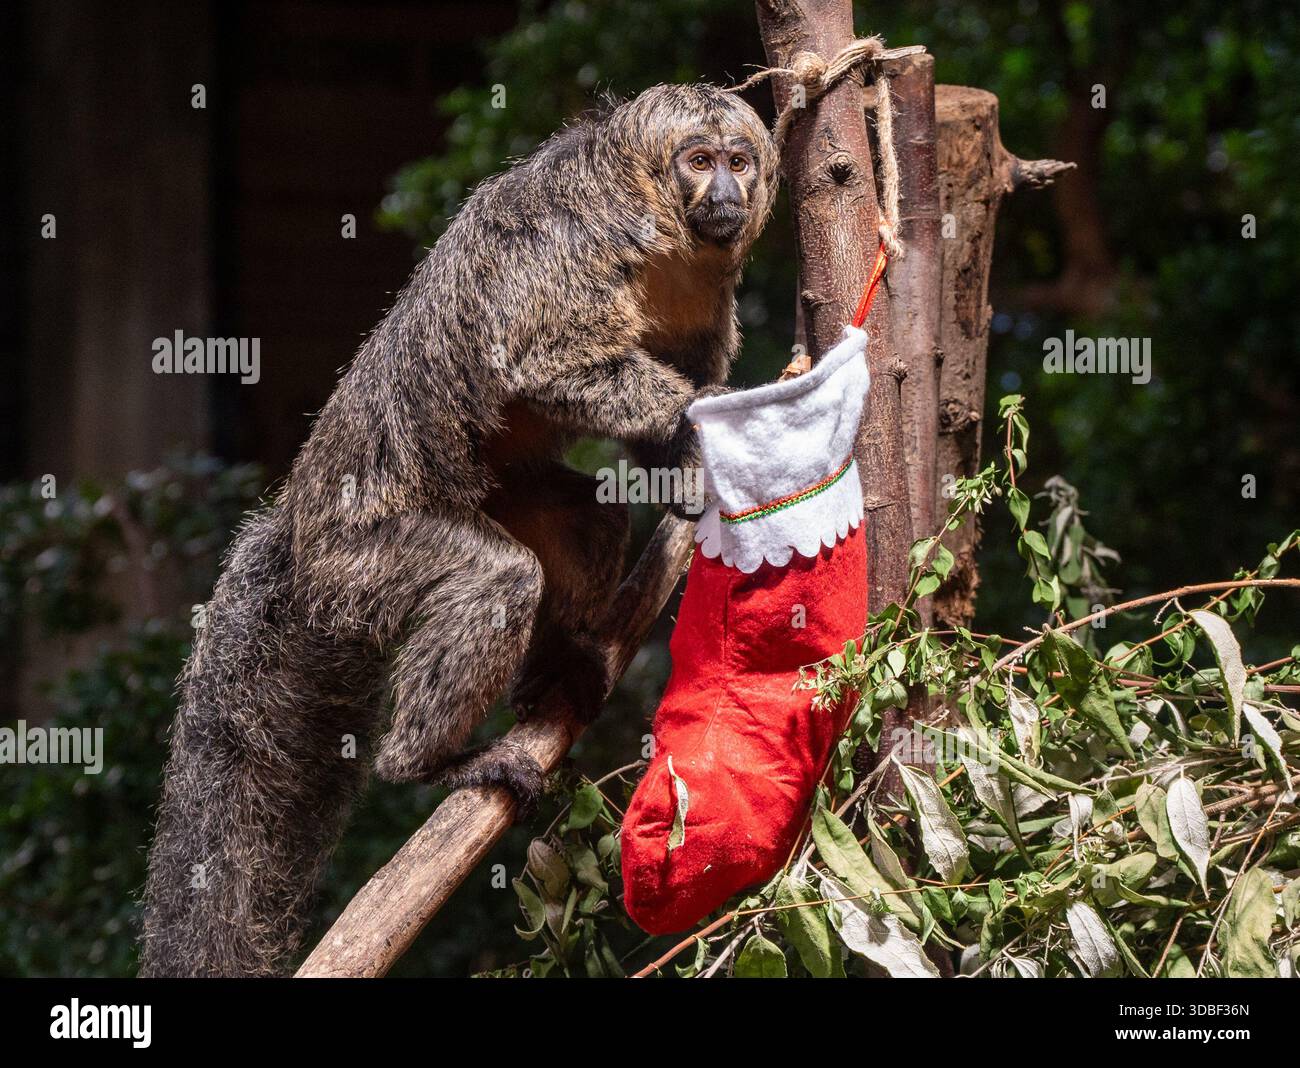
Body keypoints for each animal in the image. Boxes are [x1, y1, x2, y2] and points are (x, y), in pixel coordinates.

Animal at [138, 83, 778, 977]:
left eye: (740, 160)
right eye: (699, 159)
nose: (726, 190)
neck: (665, 245)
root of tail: (297, 526)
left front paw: (689, 472)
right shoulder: (582, 235)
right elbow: (550, 361)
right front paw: (707, 420)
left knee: (583, 518)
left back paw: (555, 673)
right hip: (358, 557)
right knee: (494, 578)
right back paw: (433, 760)